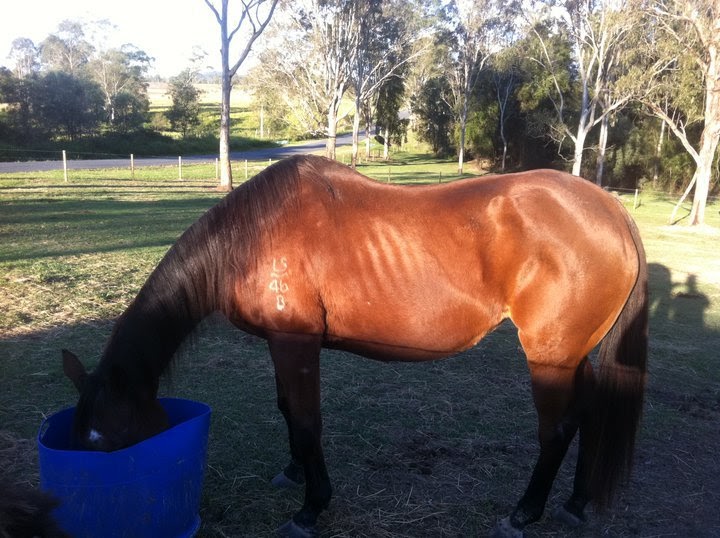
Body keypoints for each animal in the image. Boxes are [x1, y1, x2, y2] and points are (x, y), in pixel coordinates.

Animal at [62, 154, 648, 537]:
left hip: (550, 358)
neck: (252, 238)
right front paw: (294, 473)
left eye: (108, 443)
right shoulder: (281, 345)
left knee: (558, 430)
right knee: (589, 414)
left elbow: (305, 421)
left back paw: (524, 513)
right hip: (575, 357)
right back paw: (576, 502)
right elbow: (287, 411)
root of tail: (610, 210)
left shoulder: (295, 345)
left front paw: (309, 509)